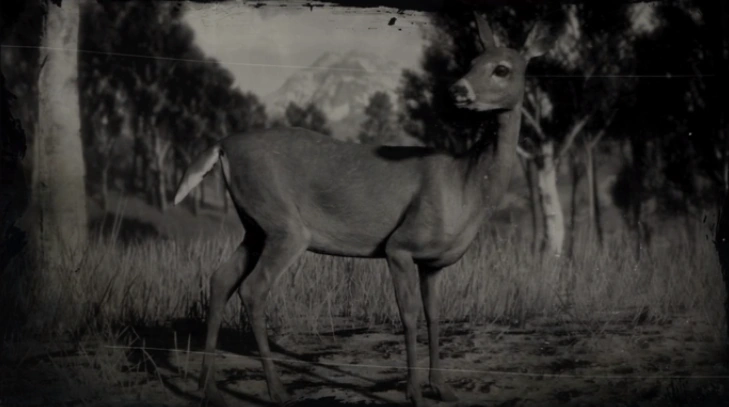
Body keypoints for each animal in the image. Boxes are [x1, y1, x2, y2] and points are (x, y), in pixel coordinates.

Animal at [172, 12, 553, 407]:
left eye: (501, 68)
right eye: (473, 62)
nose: (457, 91)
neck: (465, 184)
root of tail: (223, 144)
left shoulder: (433, 263)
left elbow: (434, 315)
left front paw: (442, 387)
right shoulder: (400, 246)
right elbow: (409, 315)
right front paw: (414, 392)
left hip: (255, 226)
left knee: (221, 279)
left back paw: (208, 389)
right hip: (284, 225)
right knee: (253, 289)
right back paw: (276, 391)